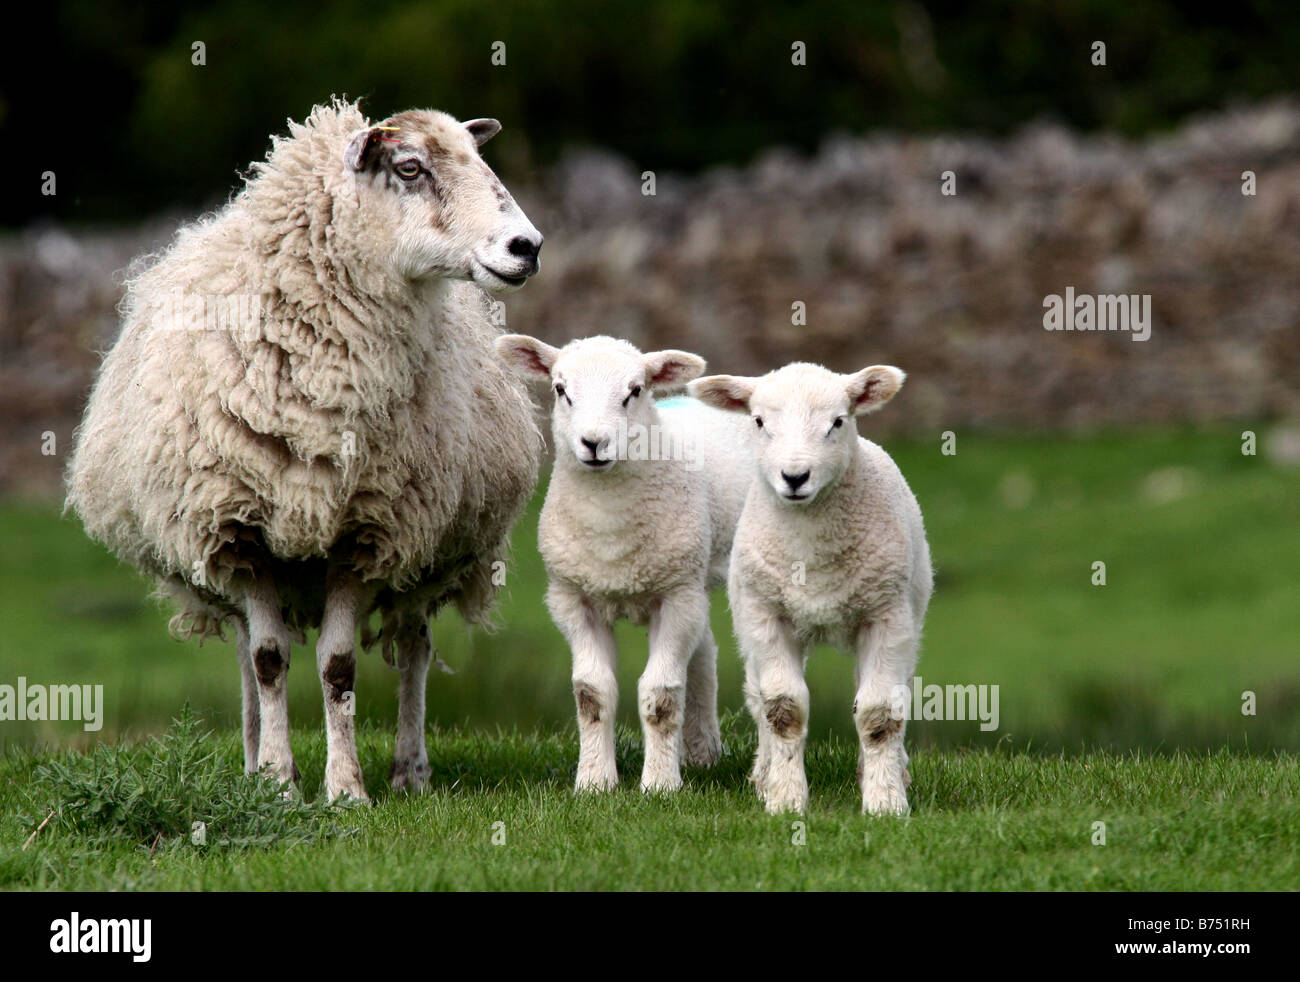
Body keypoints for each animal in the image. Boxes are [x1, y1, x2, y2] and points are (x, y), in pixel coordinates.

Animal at [65, 99, 545, 802]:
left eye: (476, 158)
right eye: (410, 168)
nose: (527, 247)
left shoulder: (368, 532)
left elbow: (338, 667)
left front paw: (346, 790)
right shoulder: (236, 533)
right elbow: (268, 661)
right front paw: (277, 784)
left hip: (426, 555)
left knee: (415, 647)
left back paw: (411, 772)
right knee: (249, 653)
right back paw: (253, 761)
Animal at [495, 334, 753, 792]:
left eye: (634, 391)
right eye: (560, 389)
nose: (594, 443)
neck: (610, 532)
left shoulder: (674, 596)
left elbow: (661, 694)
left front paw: (660, 786)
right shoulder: (571, 598)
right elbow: (591, 692)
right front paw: (595, 782)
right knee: (704, 651)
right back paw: (702, 751)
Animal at [689, 361, 932, 815]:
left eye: (837, 422)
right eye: (759, 421)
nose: (795, 476)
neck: (813, 560)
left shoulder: (886, 614)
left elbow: (878, 714)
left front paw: (886, 801)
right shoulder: (767, 614)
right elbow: (782, 709)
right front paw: (785, 800)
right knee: (757, 695)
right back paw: (764, 775)